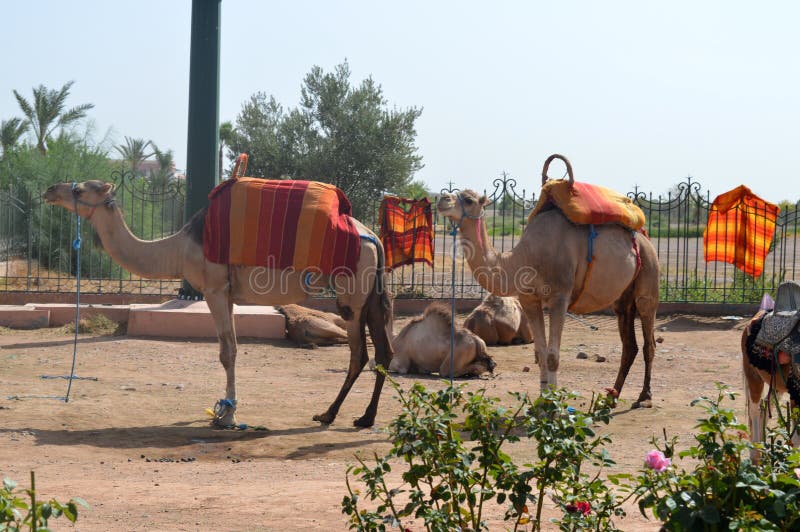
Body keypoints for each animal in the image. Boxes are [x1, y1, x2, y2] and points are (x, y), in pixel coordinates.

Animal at [44, 180, 393, 428]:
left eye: (78, 189)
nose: (49, 190)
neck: (179, 249)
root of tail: (373, 237)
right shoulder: (228, 294)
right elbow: (232, 349)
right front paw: (225, 411)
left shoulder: (214, 289)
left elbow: (228, 353)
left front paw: (227, 416)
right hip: (372, 292)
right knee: (384, 352)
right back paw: (364, 418)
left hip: (351, 293)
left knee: (360, 354)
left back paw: (329, 414)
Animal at [437, 155, 660, 407]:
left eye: (468, 199)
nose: (441, 199)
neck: (524, 258)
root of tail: (644, 236)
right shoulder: (529, 301)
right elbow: (540, 354)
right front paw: (542, 403)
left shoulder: (559, 296)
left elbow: (553, 355)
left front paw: (554, 404)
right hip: (623, 298)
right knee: (629, 345)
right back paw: (611, 396)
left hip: (649, 276)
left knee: (649, 340)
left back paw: (644, 396)